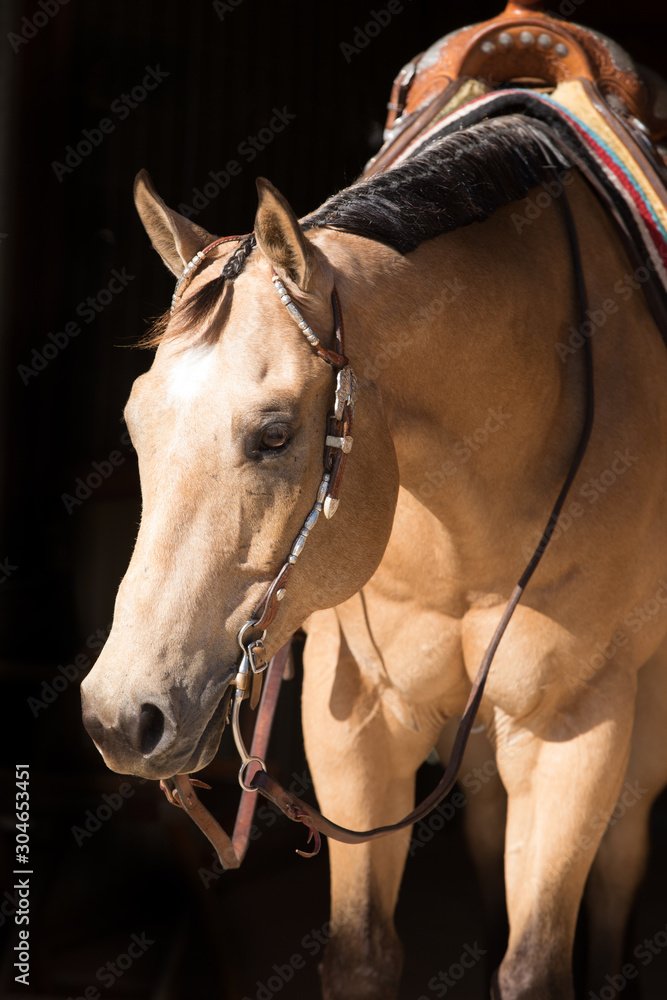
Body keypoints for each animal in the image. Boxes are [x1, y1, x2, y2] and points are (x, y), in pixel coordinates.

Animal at [80, 97, 667, 997]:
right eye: (136, 423)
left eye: (275, 433)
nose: (120, 716)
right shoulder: (357, 716)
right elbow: (361, 951)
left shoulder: (574, 728)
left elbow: (536, 964)